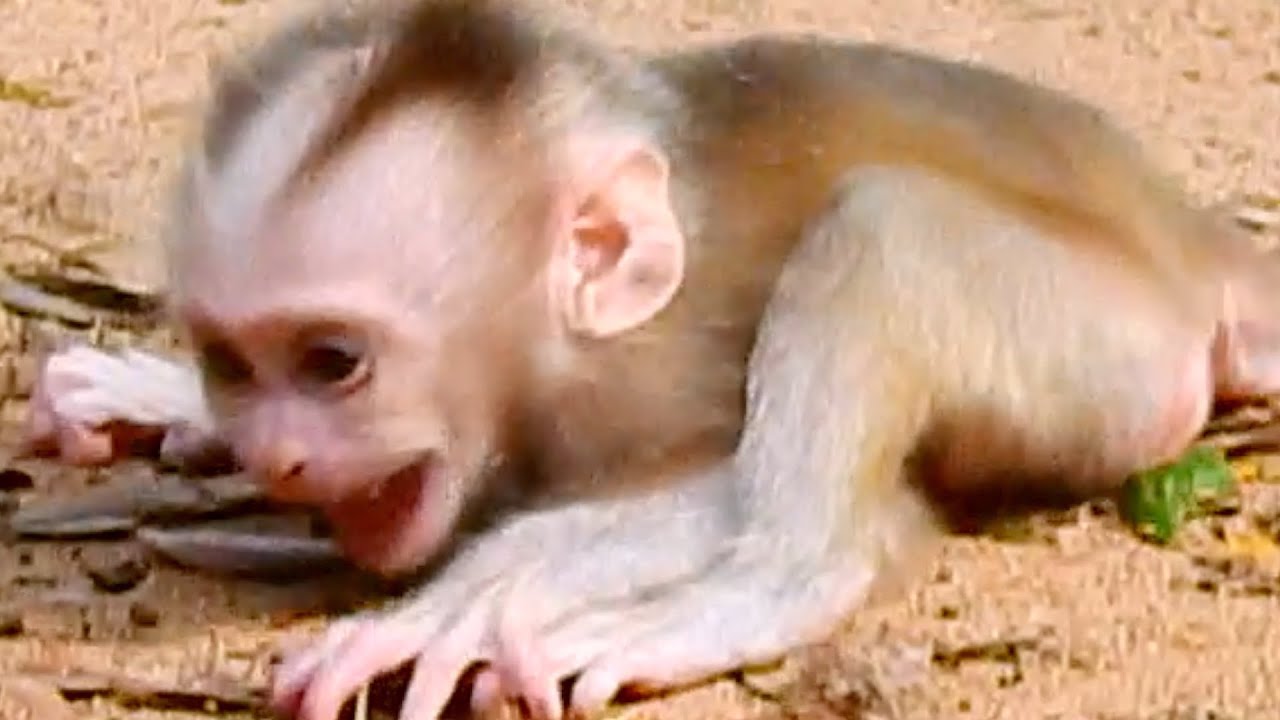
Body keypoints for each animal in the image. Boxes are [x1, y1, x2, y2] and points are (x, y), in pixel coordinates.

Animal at [19, 0, 1280, 719]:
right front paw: (159, 394)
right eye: (234, 362)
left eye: (333, 363)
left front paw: (455, 606)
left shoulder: (648, 369)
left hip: (1115, 354)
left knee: (881, 226)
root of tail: (1186, 237)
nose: (277, 455)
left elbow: (719, 488)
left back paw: (781, 581)